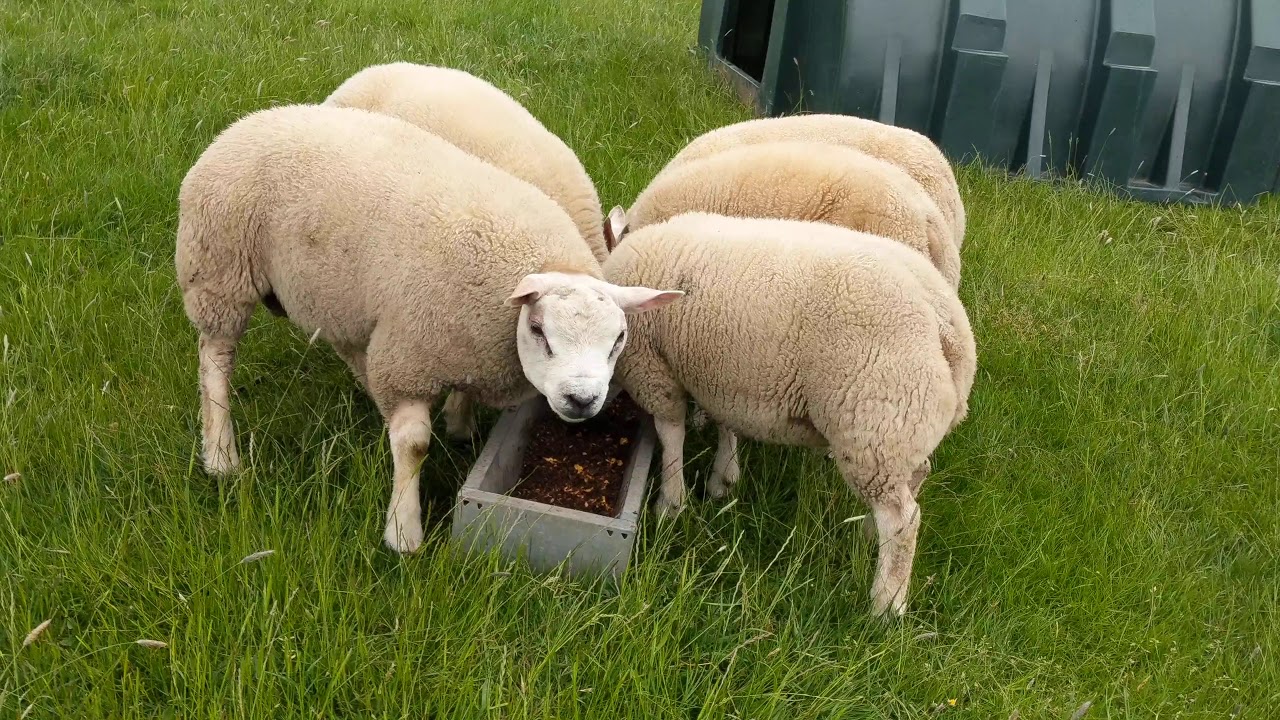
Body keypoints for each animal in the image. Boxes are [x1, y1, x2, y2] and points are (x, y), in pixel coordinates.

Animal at [175, 104, 681, 554]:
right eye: (539, 331)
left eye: (618, 340)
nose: (582, 400)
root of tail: (248, 121)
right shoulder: (409, 356)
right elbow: (414, 445)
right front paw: (404, 534)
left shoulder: (457, 341)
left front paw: (460, 425)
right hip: (220, 271)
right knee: (216, 361)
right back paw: (221, 456)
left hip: (336, 294)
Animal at [602, 212, 975, 618]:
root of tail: (947, 324)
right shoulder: (724, 377)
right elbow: (726, 425)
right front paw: (724, 480)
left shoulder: (654, 369)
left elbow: (671, 435)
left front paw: (670, 504)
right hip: (903, 424)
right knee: (914, 477)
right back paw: (867, 535)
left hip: (874, 422)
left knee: (902, 519)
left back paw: (885, 605)